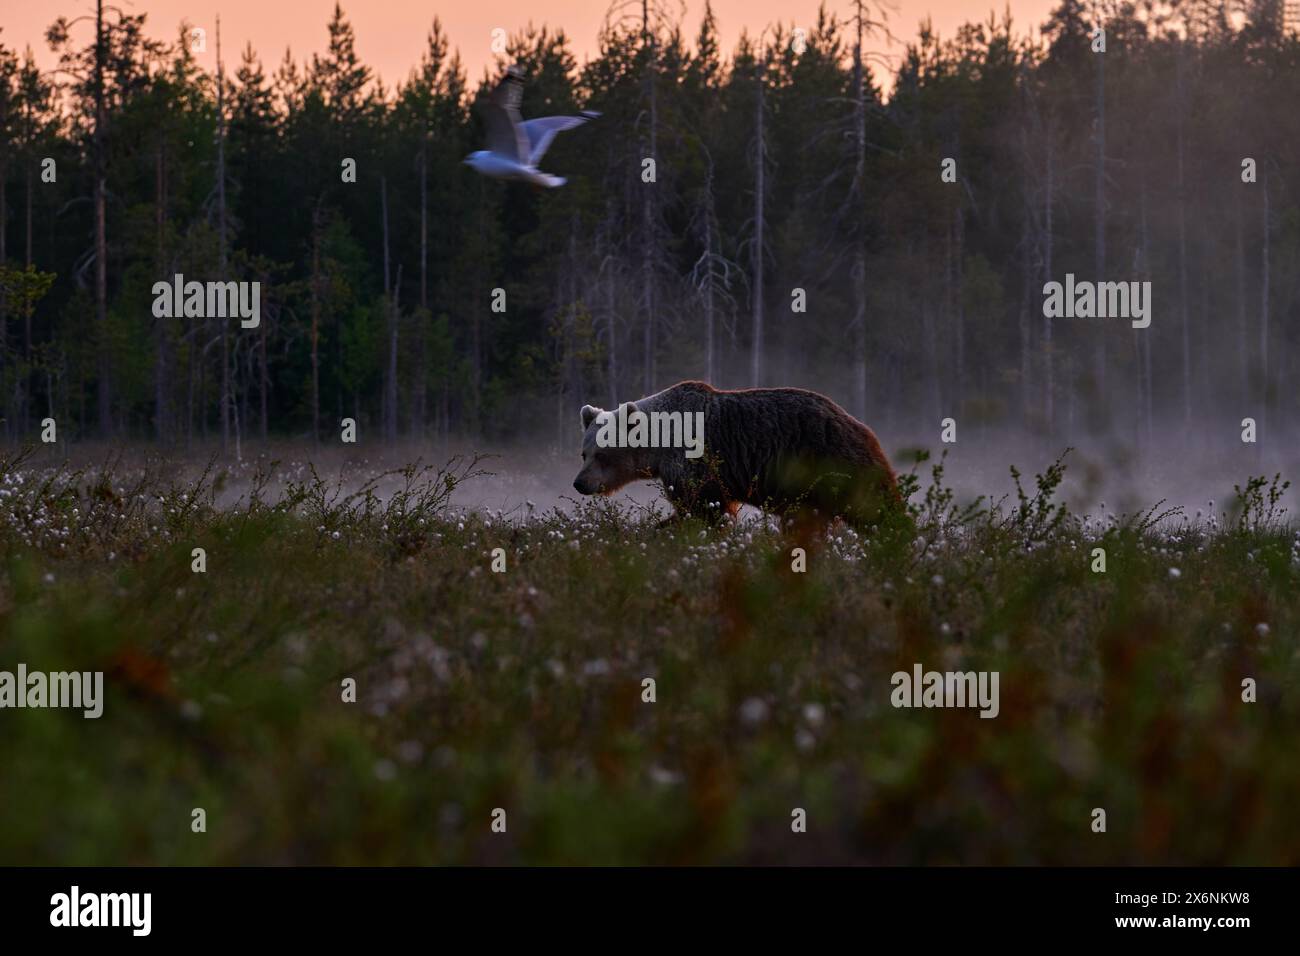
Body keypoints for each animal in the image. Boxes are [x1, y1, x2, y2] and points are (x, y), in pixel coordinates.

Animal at [572, 380, 903, 530]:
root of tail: (858, 423)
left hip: (832, 459)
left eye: (601, 455)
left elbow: (704, 509)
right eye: (583, 453)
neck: (661, 444)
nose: (579, 483)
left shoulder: (695, 462)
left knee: (875, 506)